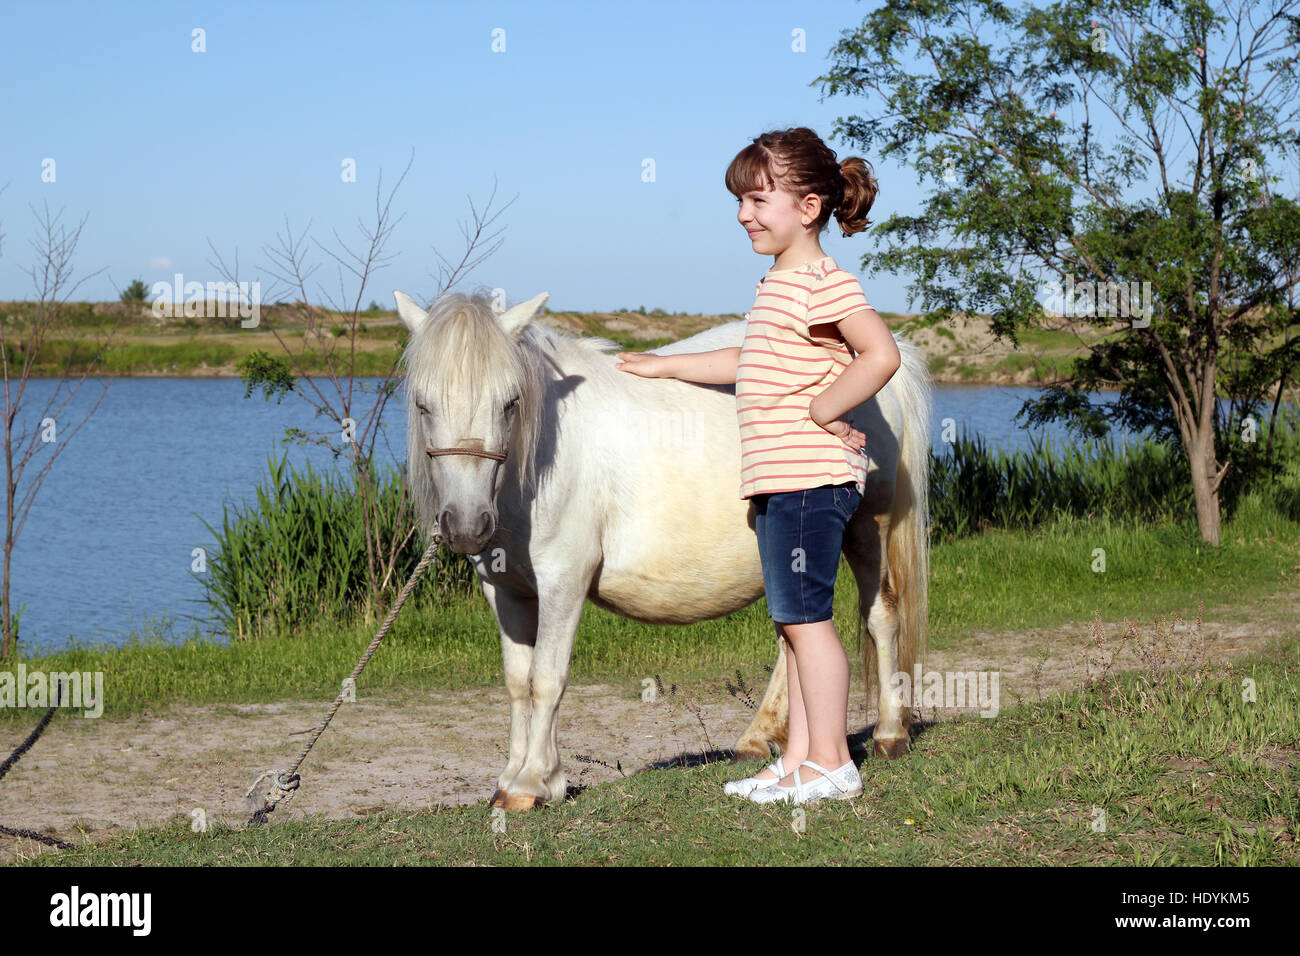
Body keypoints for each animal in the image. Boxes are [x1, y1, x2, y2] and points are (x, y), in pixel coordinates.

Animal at [394, 288, 931, 811]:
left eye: (510, 402)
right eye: (422, 405)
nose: (467, 524)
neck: (541, 457)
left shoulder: (564, 580)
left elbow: (546, 678)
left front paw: (534, 783)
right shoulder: (503, 589)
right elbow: (515, 682)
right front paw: (512, 777)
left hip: (866, 531)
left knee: (880, 616)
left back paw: (889, 733)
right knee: (792, 638)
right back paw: (758, 738)